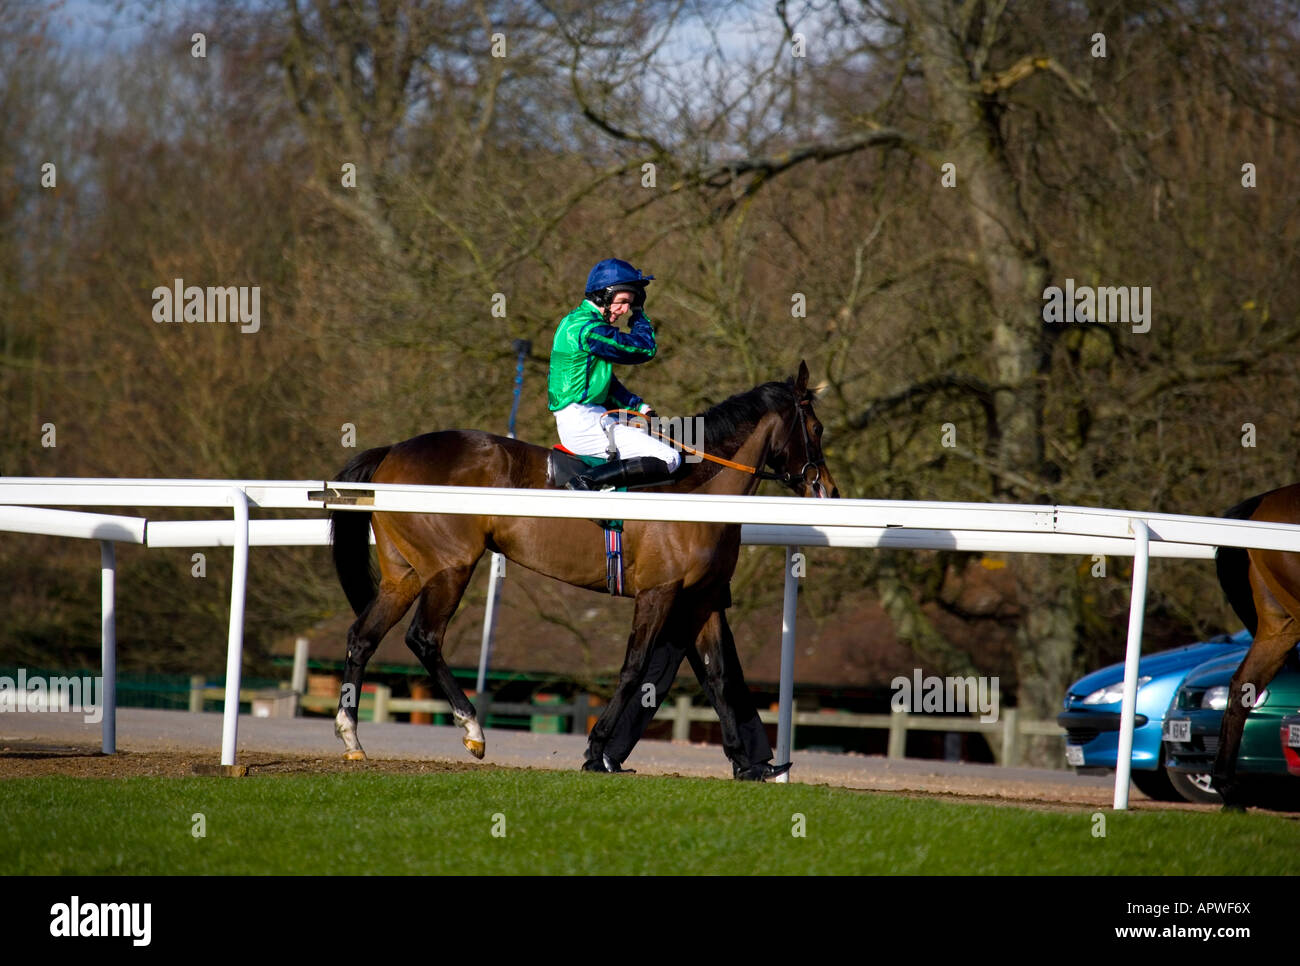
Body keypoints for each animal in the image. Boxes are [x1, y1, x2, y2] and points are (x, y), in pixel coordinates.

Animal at [330, 364, 837, 780]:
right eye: (816, 427)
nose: (828, 491)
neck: (696, 491)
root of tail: (393, 450)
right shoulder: (659, 592)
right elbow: (634, 668)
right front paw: (598, 752)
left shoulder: (703, 597)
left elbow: (719, 677)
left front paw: (751, 765)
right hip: (451, 566)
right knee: (424, 638)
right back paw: (473, 729)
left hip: (406, 574)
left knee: (363, 636)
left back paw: (353, 737)